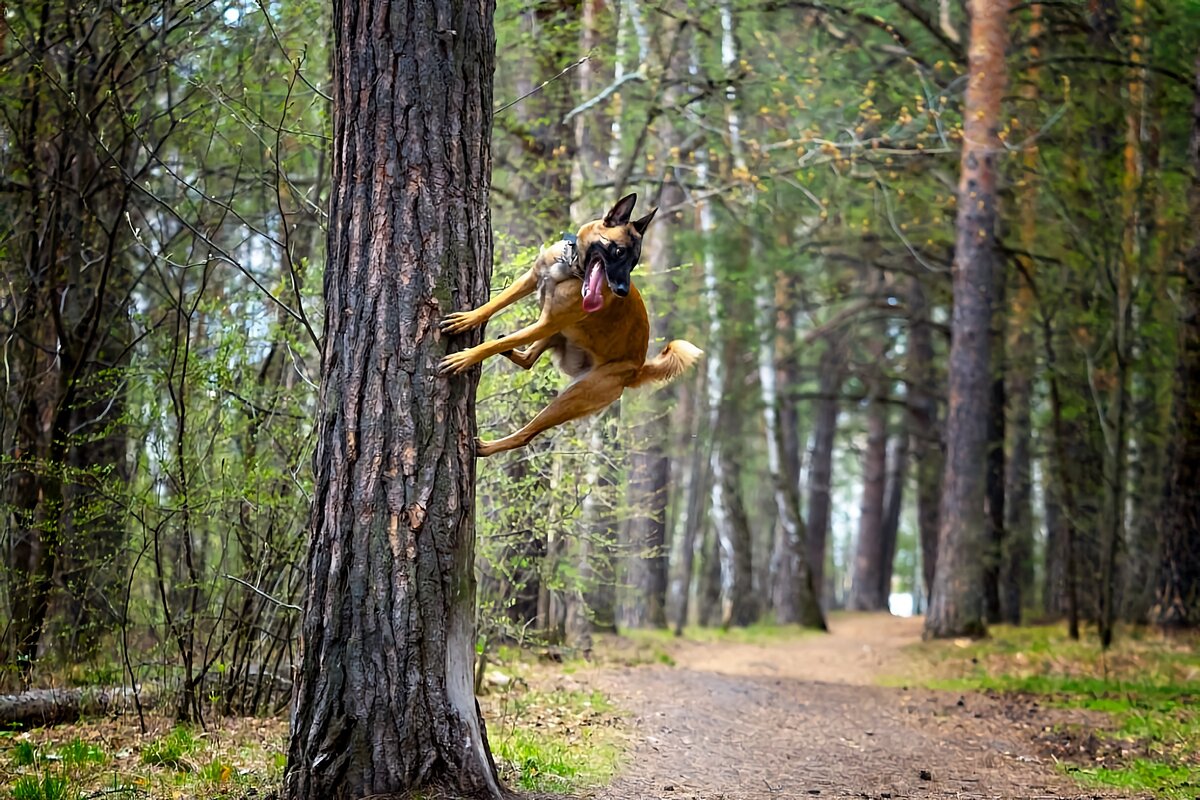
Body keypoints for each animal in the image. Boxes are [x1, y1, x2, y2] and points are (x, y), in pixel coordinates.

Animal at [441, 191, 700, 455]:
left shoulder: (546, 323)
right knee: (528, 360)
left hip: (571, 395)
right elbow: (495, 304)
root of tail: (637, 369)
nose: (621, 290)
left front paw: (465, 357)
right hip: (562, 333)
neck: (570, 268)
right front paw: (469, 318)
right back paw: (511, 350)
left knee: (527, 433)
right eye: (619, 252)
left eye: (634, 261)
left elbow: (490, 345)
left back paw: (487, 447)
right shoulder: (531, 280)